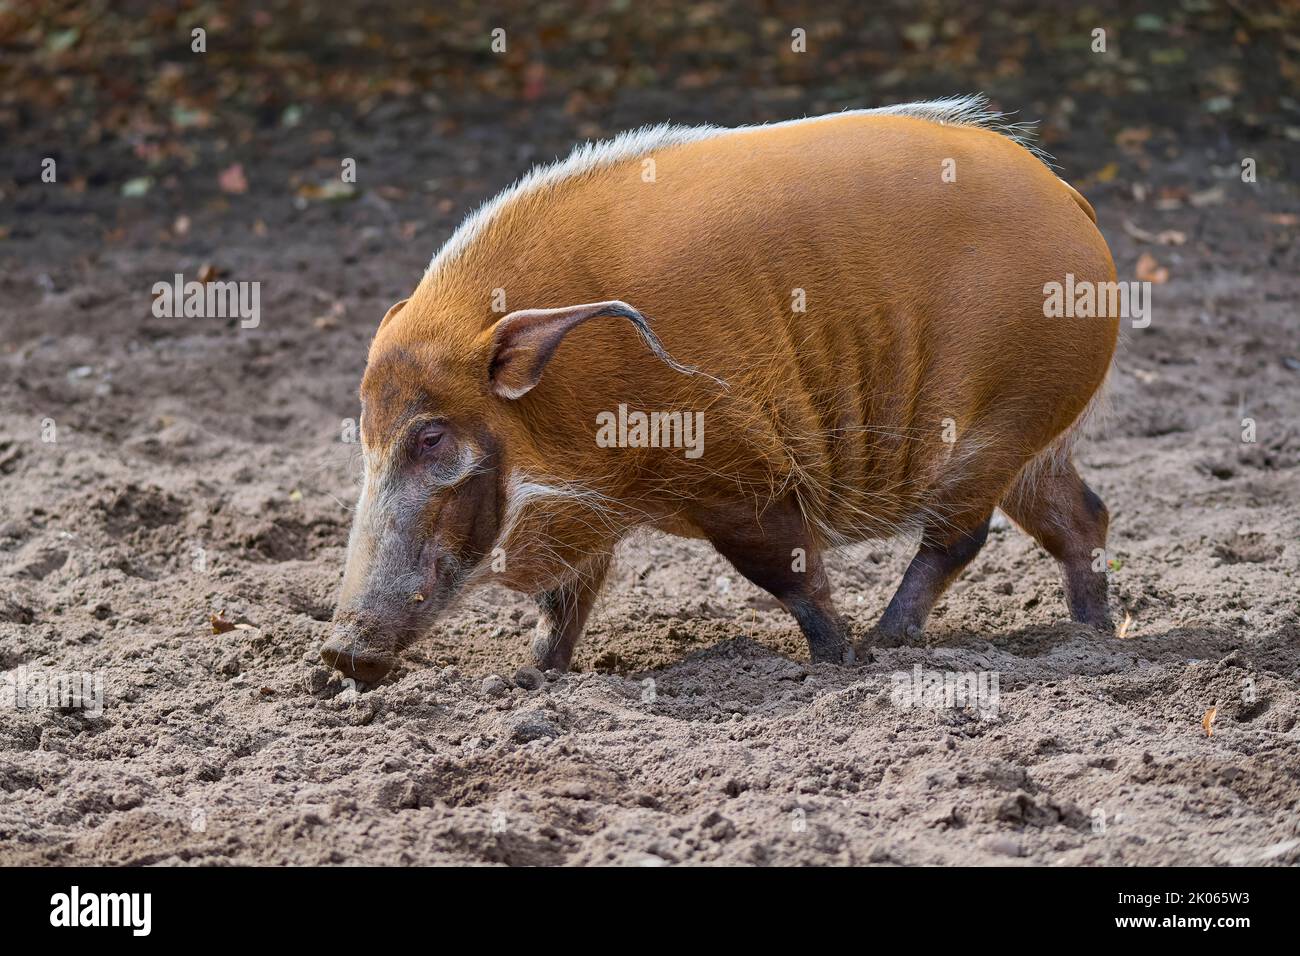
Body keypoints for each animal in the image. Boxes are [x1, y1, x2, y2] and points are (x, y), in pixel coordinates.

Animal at [321, 95, 1119, 684]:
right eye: (365, 437)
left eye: (431, 437)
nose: (339, 653)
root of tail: (1073, 201)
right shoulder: (592, 511)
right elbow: (566, 601)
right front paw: (528, 677)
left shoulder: (738, 478)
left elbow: (790, 575)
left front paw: (837, 662)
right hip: (1032, 439)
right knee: (1084, 517)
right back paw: (1096, 638)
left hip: (999, 425)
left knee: (959, 538)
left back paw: (886, 645)